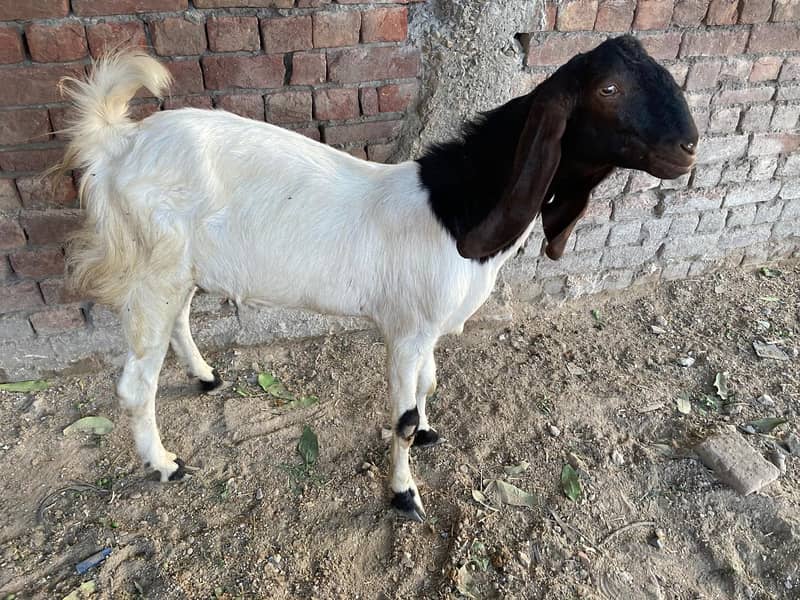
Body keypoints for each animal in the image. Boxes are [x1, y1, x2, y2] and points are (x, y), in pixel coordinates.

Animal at [56, 35, 697, 522]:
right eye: (607, 90)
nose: (688, 147)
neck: (450, 211)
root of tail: (119, 144)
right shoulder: (405, 331)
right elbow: (403, 420)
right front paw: (404, 495)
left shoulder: (426, 331)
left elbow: (429, 385)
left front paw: (432, 432)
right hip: (152, 269)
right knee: (136, 382)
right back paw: (164, 464)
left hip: (180, 268)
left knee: (182, 320)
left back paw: (206, 376)